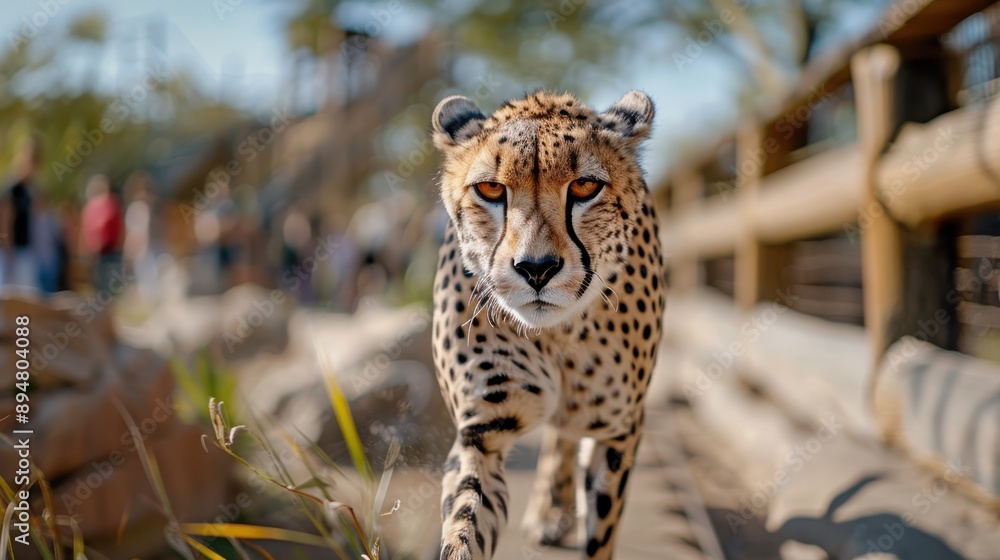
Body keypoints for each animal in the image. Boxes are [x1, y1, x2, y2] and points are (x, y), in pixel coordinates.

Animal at [429, 89, 665, 560]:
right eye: (490, 189)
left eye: (586, 186)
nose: (536, 269)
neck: (558, 335)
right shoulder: (482, 434)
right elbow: (463, 525)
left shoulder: (620, 432)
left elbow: (602, 531)